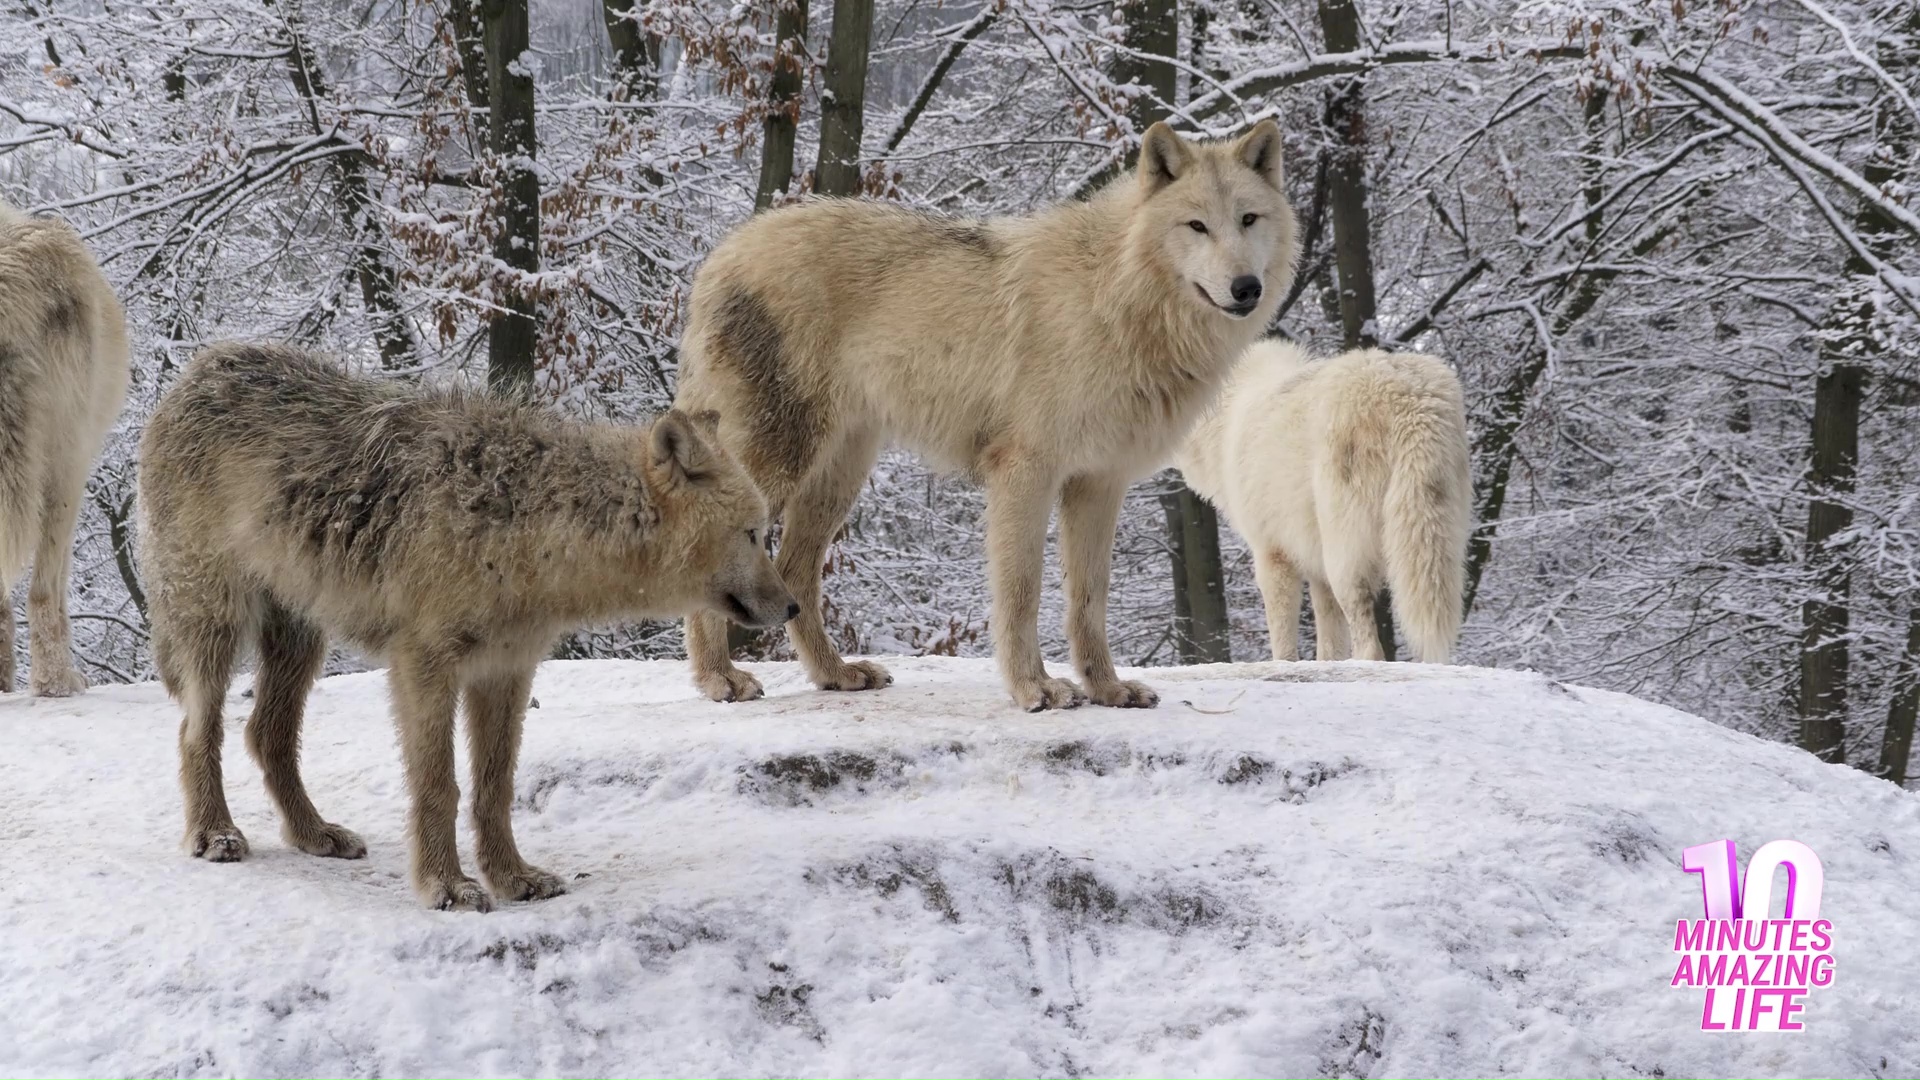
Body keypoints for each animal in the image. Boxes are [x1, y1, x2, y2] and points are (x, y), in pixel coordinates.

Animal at [139, 343, 796, 911]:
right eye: (752, 534)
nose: (791, 607)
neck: (537, 524)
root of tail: (199, 368)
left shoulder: (507, 670)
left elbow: (493, 787)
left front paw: (512, 877)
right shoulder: (423, 666)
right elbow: (439, 786)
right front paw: (447, 887)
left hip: (302, 640)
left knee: (265, 734)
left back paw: (314, 833)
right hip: (217, 626)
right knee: (197, 732)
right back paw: (215, 834)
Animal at [674, 120, 1298, 710]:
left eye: (1248, 219)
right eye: (1196, 226)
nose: (1246, 287)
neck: (1113, 298)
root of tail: (723, 252)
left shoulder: (1100, 483)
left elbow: (1089, 599)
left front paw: (1107, 689)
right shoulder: (1024, 472)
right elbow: (1021, 592)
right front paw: (1034, 689)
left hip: (838, 477)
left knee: (797, 570)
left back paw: (837, 674)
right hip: (783, 463)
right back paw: (720, 679)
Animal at [1175, 339, 1471, 663]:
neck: (1226, 417)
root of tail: (1407, 394)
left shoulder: (1272, 553)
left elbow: (1282, 640)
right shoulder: (1316, 571)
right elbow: (1330, 644)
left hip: (1346, 556)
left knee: (1370, 644)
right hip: (1436, 538)